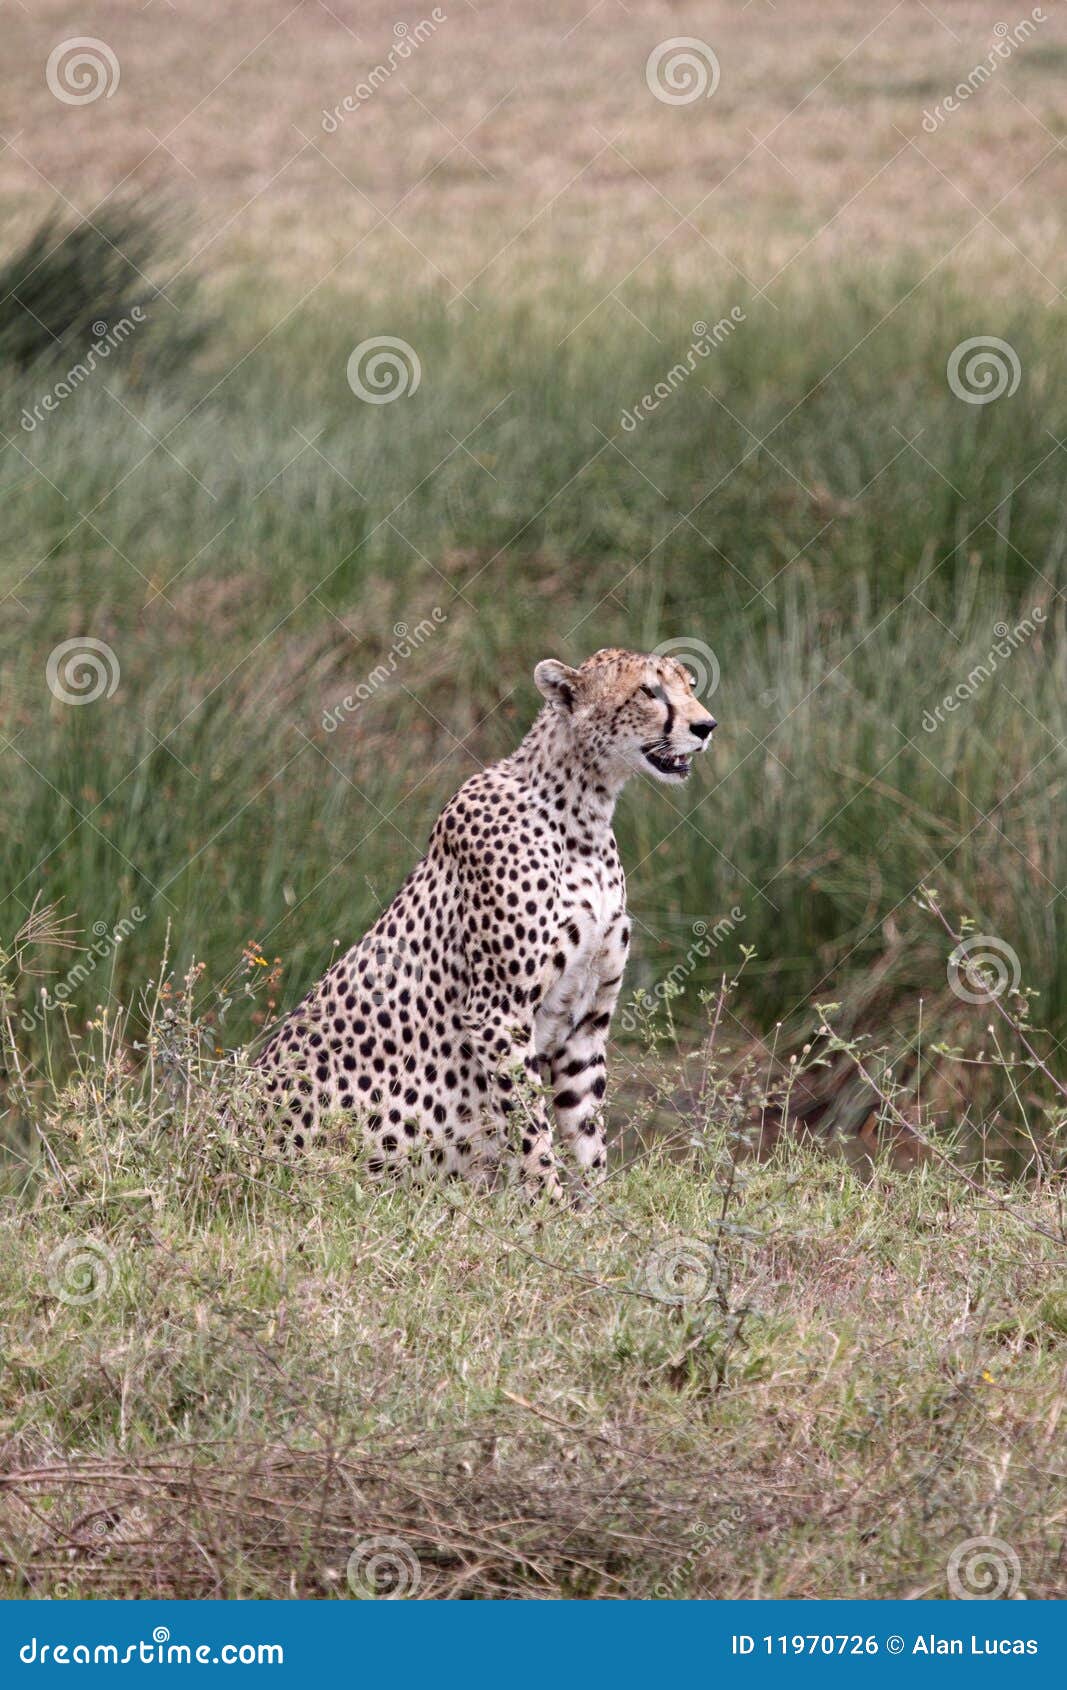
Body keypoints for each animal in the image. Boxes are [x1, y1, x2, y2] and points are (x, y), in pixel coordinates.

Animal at [253, 647, 717, 1198]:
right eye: (649, 691)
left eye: (689, 684)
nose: (706, 726)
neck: (584, 810)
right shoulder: (496, 1013)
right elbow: (532, 1127)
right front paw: (550, 1204)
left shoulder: (587, 1022)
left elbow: (586, 1129)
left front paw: (595, 1210)